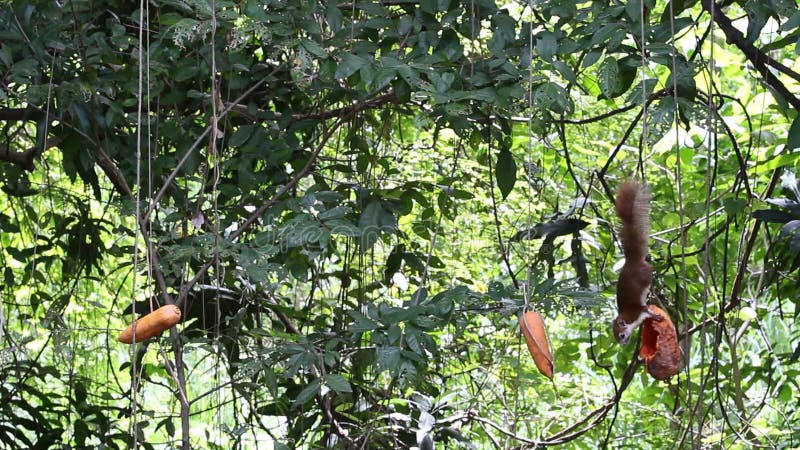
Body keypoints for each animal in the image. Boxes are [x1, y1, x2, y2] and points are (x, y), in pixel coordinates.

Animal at [612, 181, 663, 345]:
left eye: (621, 335)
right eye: (616, 337)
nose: (623, 344)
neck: (628, 317)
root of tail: (631, 261)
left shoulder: (639, 311)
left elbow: (647, 311)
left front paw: (657, 317)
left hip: (644, 275)